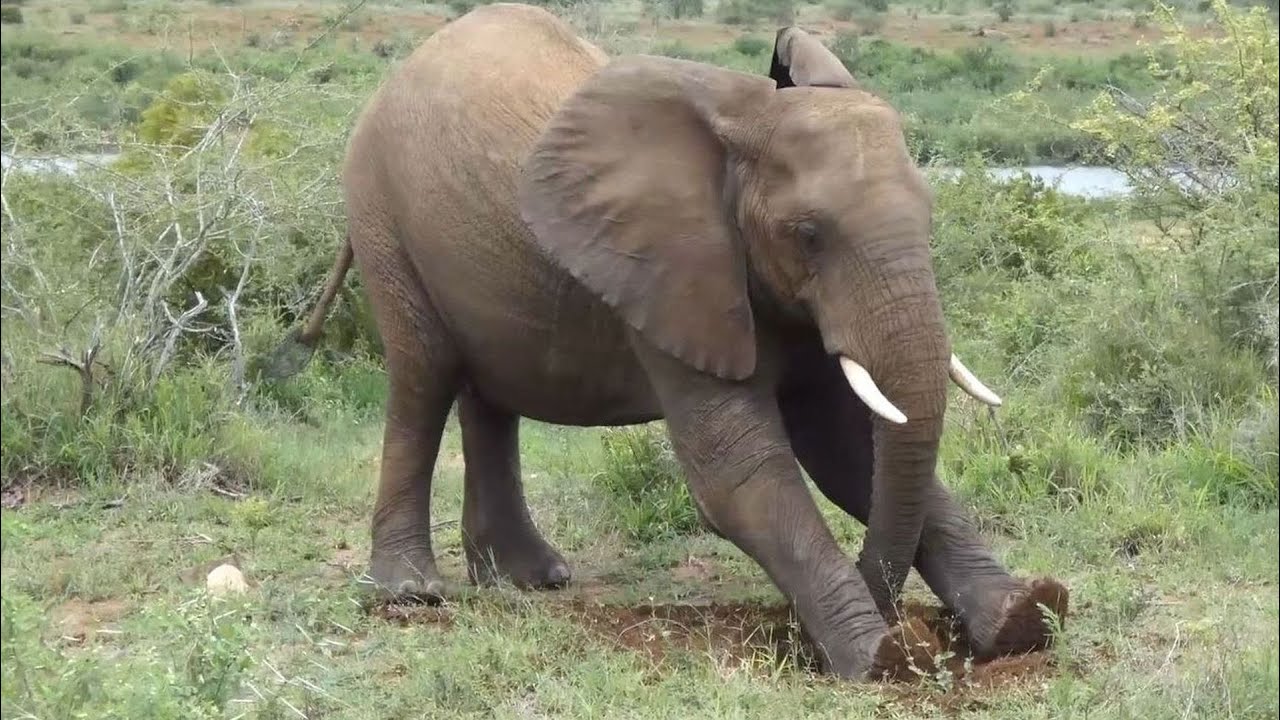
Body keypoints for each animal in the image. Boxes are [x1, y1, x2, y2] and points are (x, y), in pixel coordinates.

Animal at [283, 3, 1069, 680]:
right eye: (808, 235)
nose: (900, 618)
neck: (745, 121)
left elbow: (847, 452)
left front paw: (1026, 619)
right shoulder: (670, 266)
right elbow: (739, 472)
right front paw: (880, 658)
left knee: (490, 395)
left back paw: (531, 580)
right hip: (381, 214)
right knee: (423, 380)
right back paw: (411, 593)